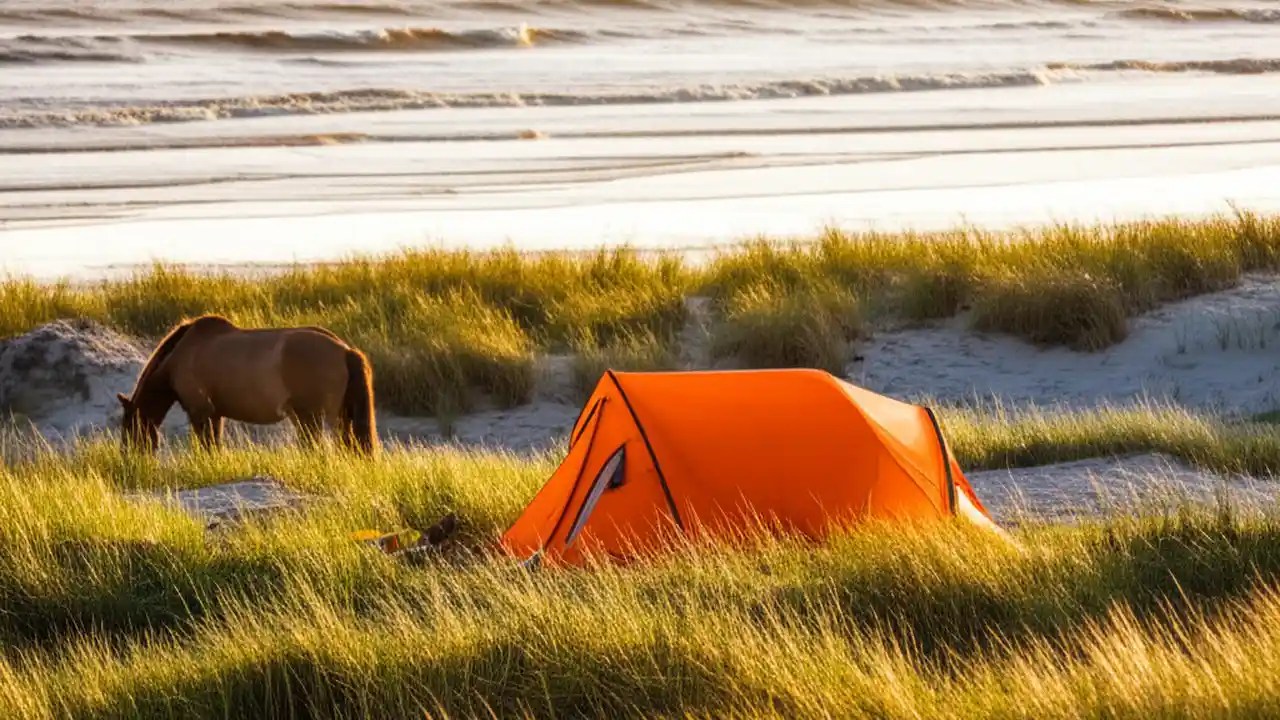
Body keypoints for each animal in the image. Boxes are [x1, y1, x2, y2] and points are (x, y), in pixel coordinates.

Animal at [117, 315, 378, 454]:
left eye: (129, 427)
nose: (129, 458)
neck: (180, 355)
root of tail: (345, 351)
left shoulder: (199, 411)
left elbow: (207, 445)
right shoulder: (215, 414)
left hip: (313, 417)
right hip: (335, 416)